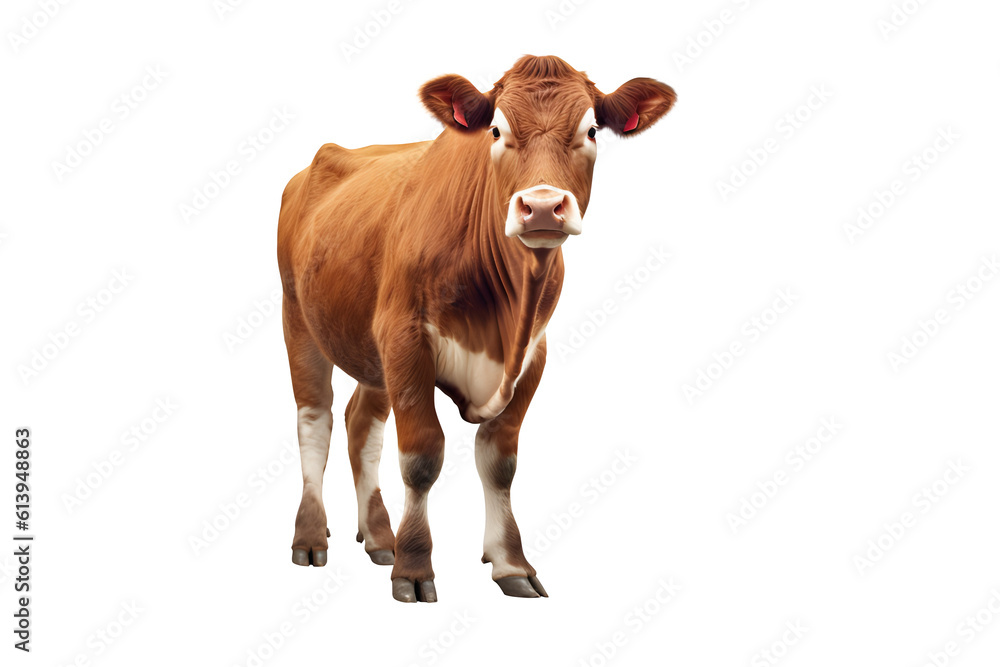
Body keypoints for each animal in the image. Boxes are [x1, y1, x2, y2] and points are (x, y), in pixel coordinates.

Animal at [277, 55, 675, 602]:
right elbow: (422, 455)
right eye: (496, 130)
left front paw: (509, 563)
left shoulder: (532, 354)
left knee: (362, 424)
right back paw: (311, 538)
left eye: (592, 130)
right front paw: (414, 567)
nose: (543, 206)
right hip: (298, 316)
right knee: (316, 422)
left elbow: (500, 460)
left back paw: (380, 538)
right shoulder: (406, 337)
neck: (506, 312)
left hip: (370, 348)